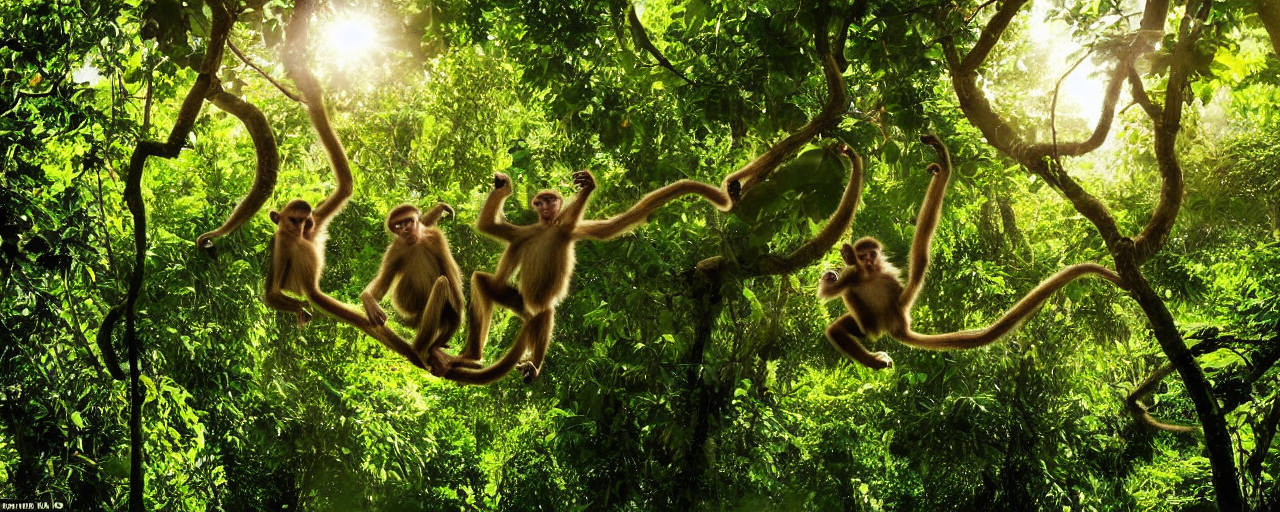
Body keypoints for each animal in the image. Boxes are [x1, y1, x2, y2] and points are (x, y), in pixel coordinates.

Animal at [361, 202, 466, 371]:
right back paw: (420, 349)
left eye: (408, 221)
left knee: (444, 284)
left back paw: (424, 349)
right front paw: (368, 300)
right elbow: (383, 283)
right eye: (399, 225)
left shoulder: (436, 238)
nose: (405, 229)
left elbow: (455, 288)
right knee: (442, 285)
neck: (416, 241)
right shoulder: (396, 248)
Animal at [440, 170, 733, 383]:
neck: (548, 228)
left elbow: (608, 229)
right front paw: (503, 185)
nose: (546, 205)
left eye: (550, 199)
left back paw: (532, 365)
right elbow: (487, 227)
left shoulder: (567, 229)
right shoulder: (527, 232)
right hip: (518, 301)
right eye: (541, 201)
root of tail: (527, 311)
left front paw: (588, 186)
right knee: (483, 281)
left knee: (545, 312)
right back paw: (472, 356)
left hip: (528, 306)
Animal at [816, 134, 1123, 370]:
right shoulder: (864, 279)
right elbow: (831, 292)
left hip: (874, 322)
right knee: (838, 326)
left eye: (872, 254)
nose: (865, 260)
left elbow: (919, 263)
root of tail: (896, 327)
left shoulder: (890, 281)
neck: (870, 275)